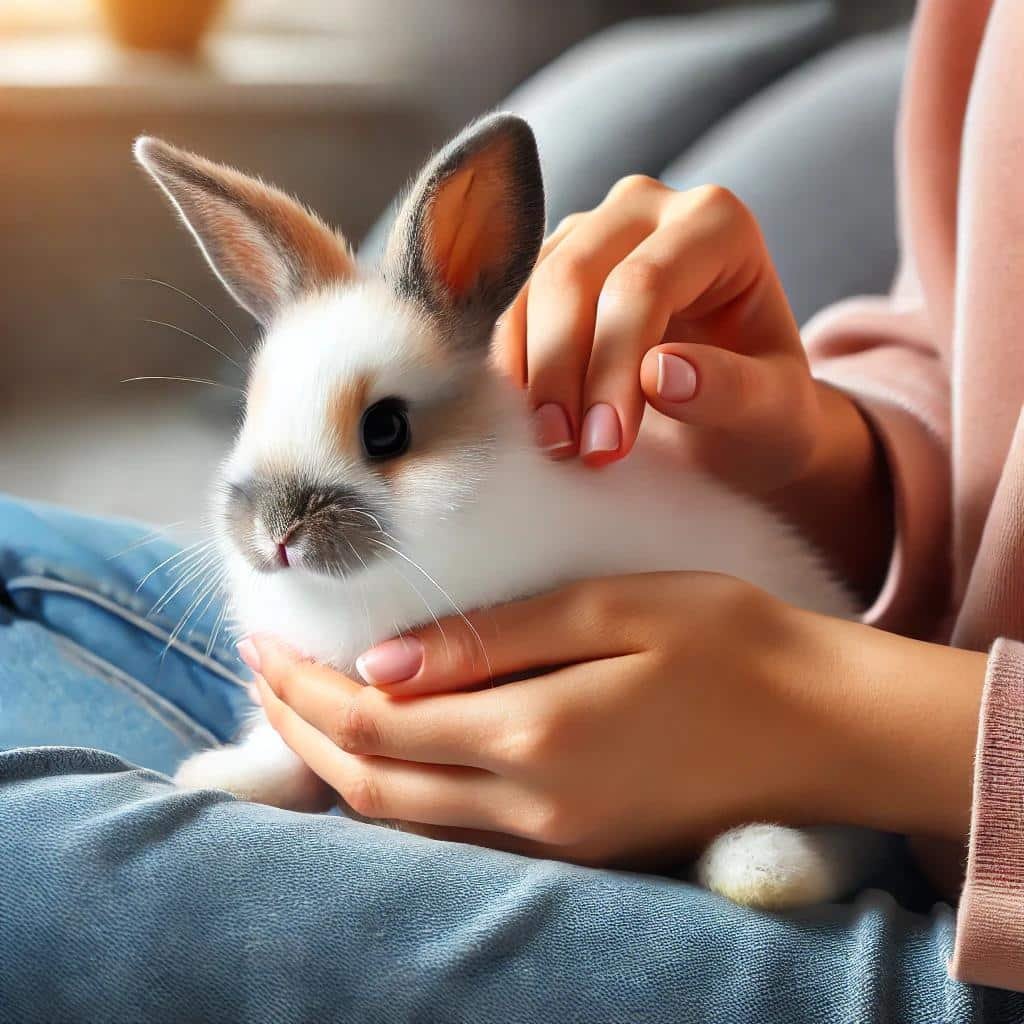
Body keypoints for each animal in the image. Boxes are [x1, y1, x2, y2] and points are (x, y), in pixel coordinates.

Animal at [134, 113, 884, 911]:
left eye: (386, 429)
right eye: (250, 412)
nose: (276, 533)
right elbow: (281, 752)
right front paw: (219, 776)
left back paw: (763, 870)